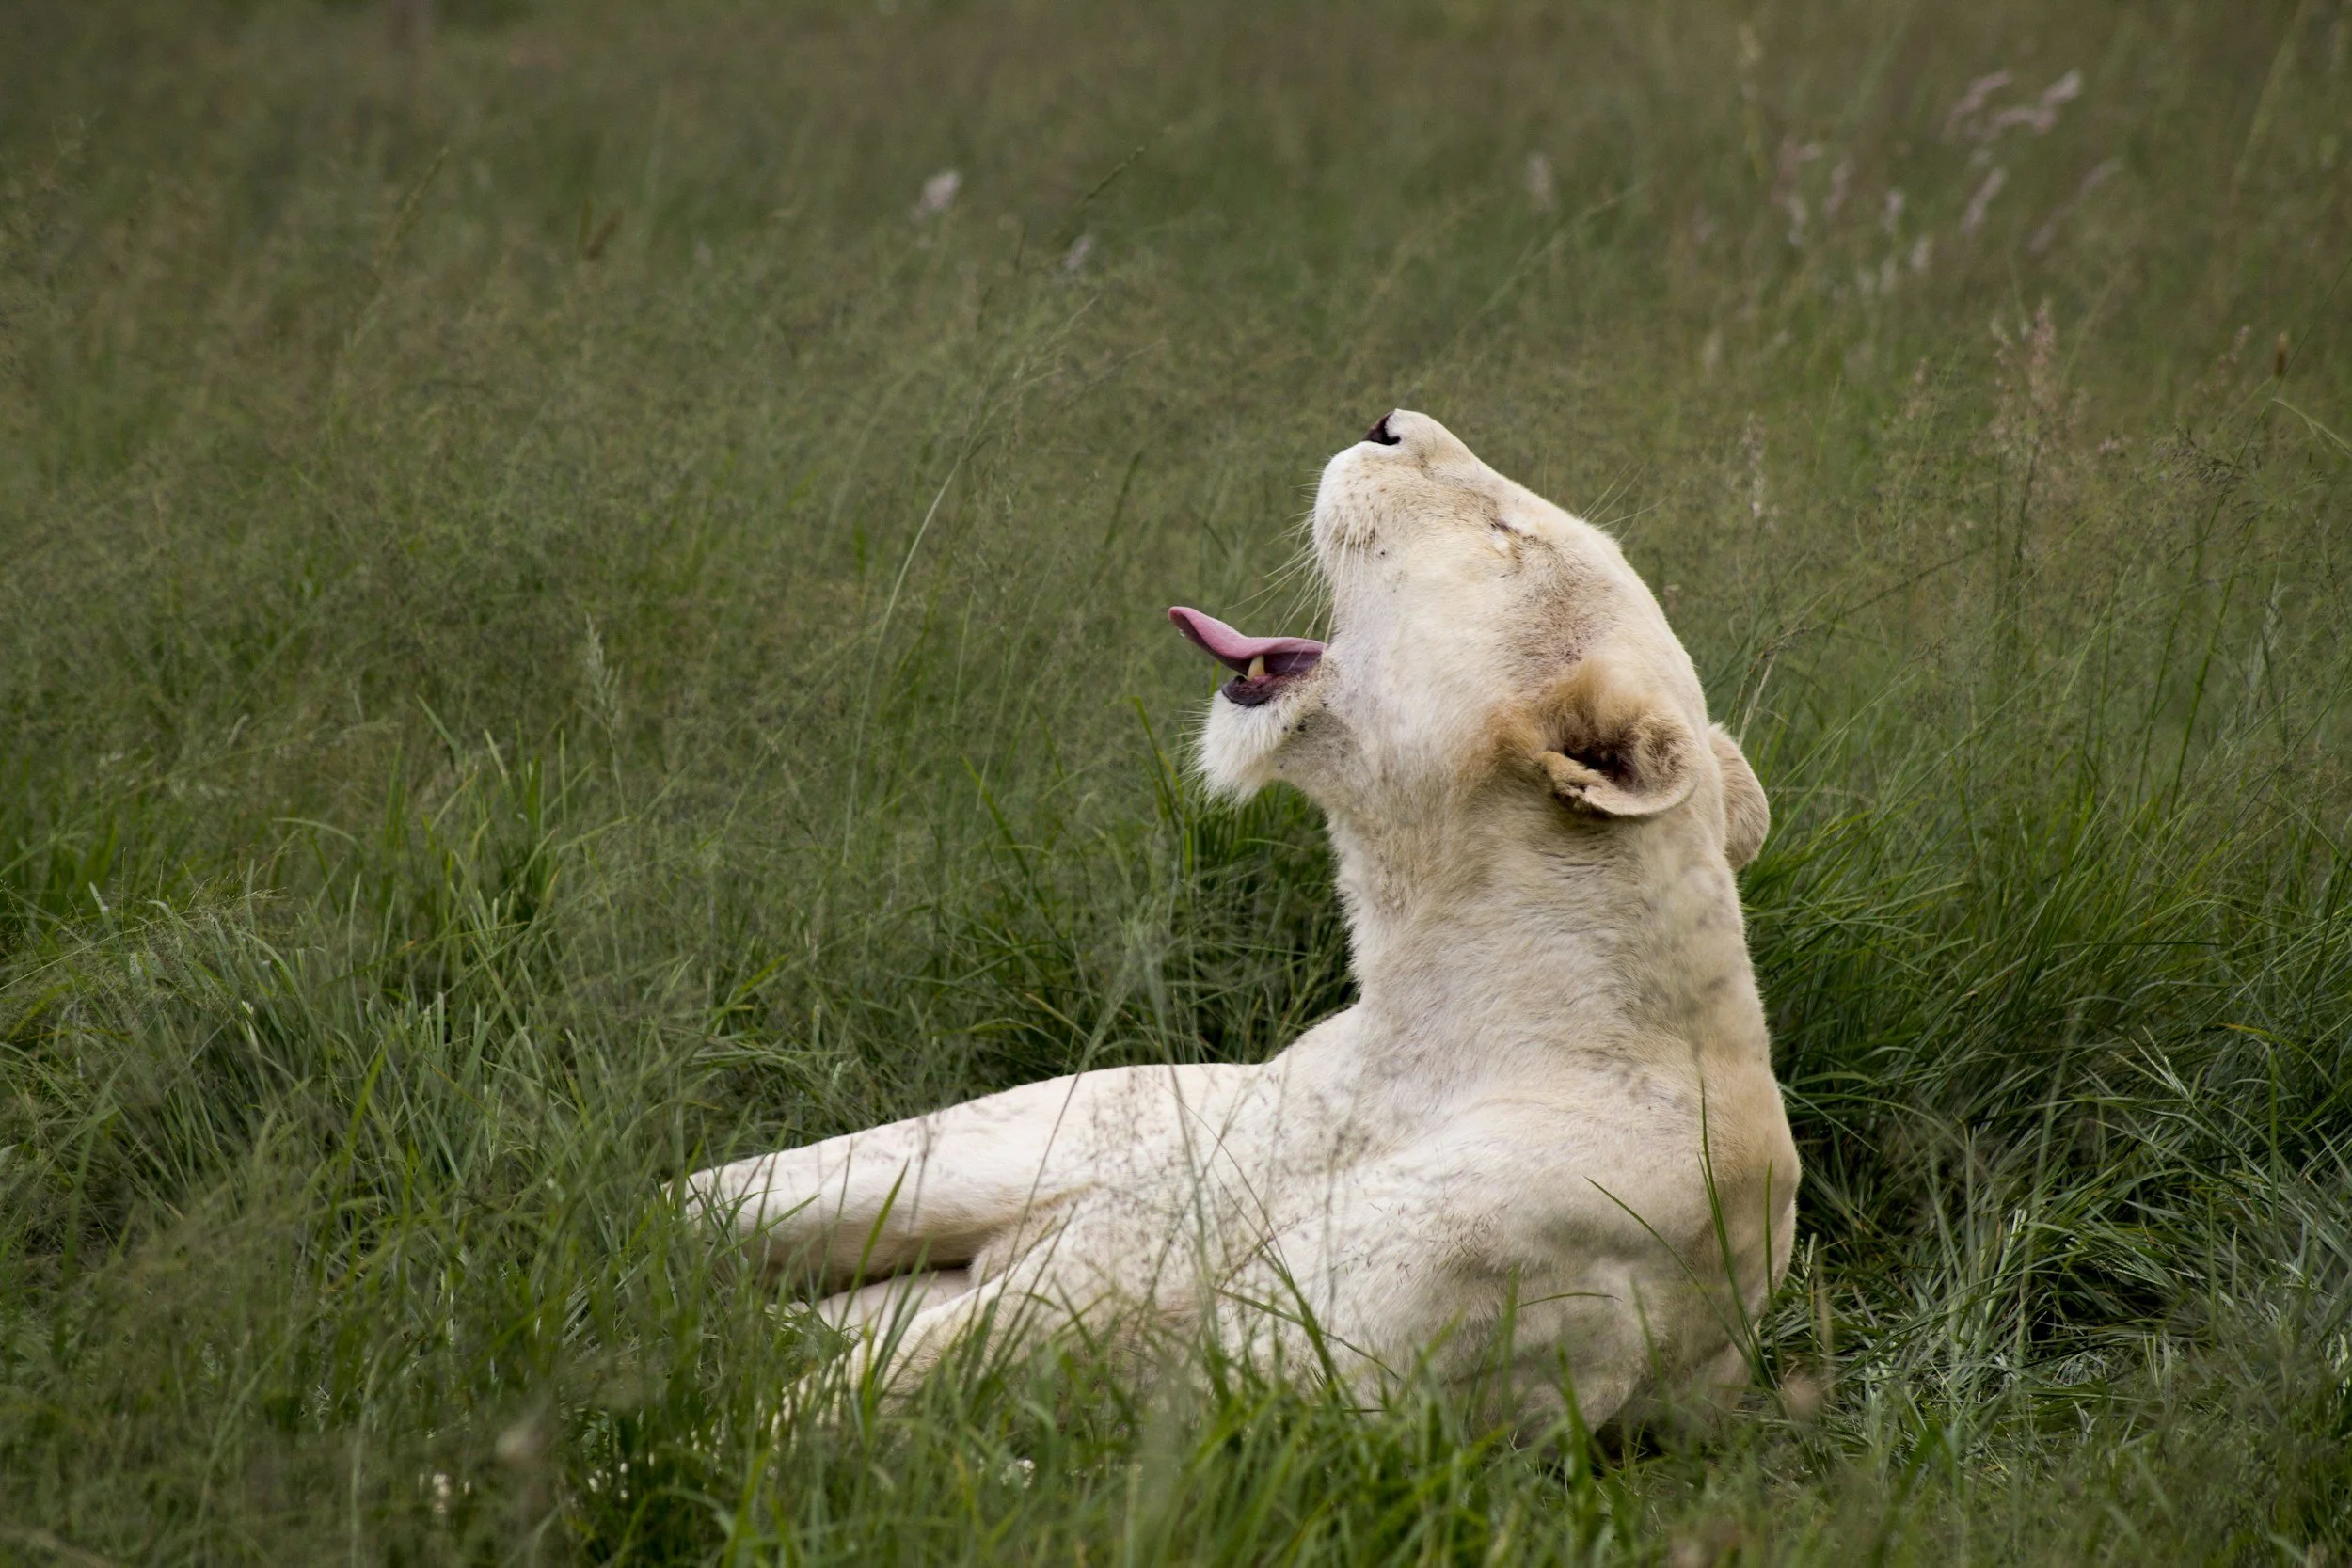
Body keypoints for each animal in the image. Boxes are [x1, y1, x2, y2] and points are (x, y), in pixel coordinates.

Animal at [688, 410, 1797, 1431]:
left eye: (1504, 534)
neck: (1429, 1022)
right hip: (954, 1152)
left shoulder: (1285, 1385)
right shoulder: (1148, 1229)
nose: (1388, 421)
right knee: (691, 1206)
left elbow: (864, 1402)